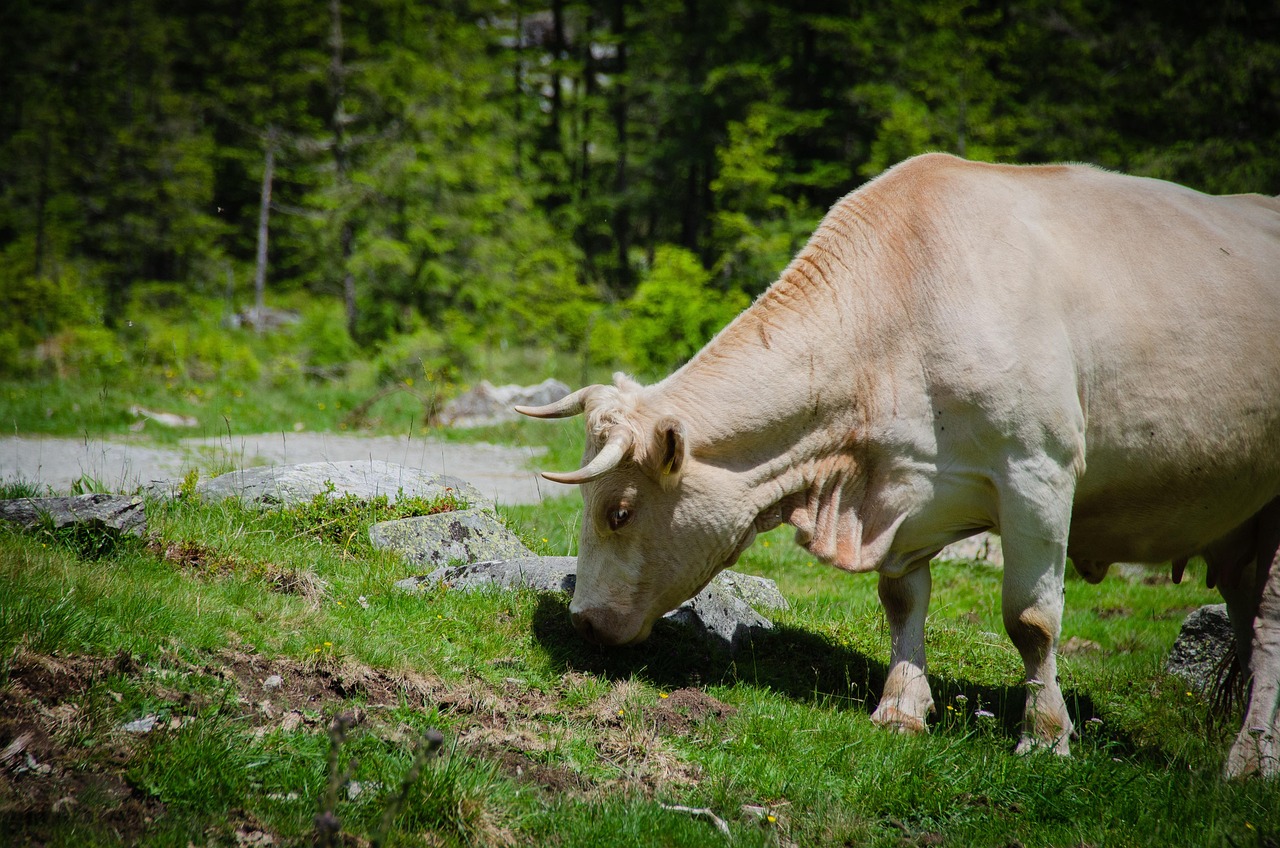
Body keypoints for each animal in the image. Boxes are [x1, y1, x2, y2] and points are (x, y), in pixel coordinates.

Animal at [517, 154, 1280, 778]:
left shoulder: (1039, 470)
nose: (584, 622)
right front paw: (902, 708)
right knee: (1250, 625)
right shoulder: (904, 491)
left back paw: (1247, 763)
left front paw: (1045, 736)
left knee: (1269, 627)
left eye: (619, 511)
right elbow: (902, 598)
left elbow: (1031, 619)